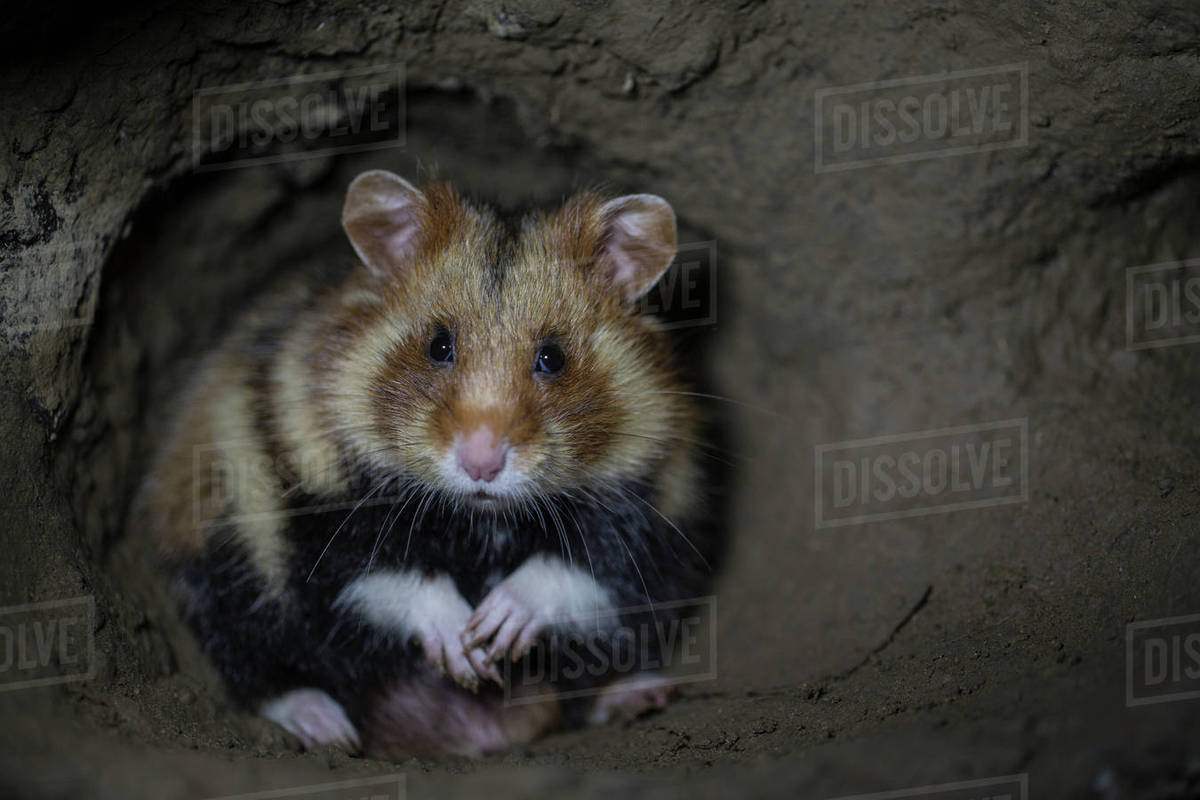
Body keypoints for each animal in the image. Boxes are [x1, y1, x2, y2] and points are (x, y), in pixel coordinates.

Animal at [136, 170, 721, 759]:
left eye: (553, 357)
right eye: (439, 345)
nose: (481, 464)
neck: (482, 518)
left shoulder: (649, 506)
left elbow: (577, 571)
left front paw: (494, 631)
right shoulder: (321, 503)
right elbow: (388, 577)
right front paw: (467, 652)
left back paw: (643, 694)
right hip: (226, 553)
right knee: (257, 667)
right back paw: (328, 729)